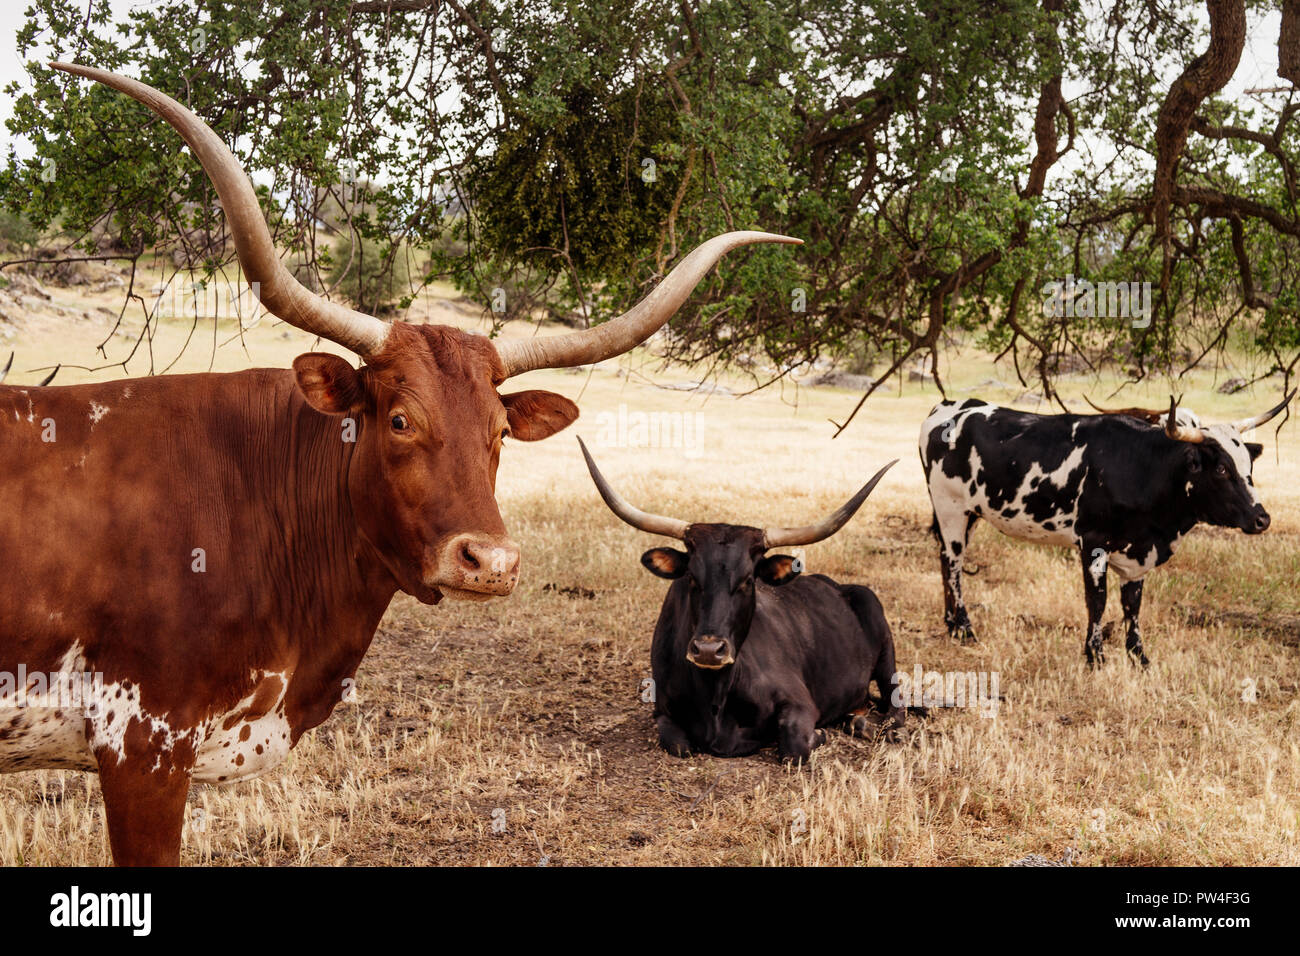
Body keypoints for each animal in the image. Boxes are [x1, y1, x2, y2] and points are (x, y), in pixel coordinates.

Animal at [577, 438, 903, 762]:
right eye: (692, 577)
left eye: (748, 580)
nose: (709, 650)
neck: (716, 694)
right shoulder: (662, 711)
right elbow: (678, 744)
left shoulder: (799, 702)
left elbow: (794, 747)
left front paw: (820, 734)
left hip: (886, 654)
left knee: (896, 704)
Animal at [919, 392, 1294, 666]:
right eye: (1220, 469)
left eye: (1248, 466)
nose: (1262, 519)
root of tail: (950, 405)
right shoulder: (1093, 543)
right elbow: (1097, 601)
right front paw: (1095, 655)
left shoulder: (1139, 552)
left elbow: (1133, 605)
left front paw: (1138, 656)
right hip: (950, 508)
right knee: (953, 562)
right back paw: (964, 628)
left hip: (970, 514)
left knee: (944, 559)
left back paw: (950, 623)